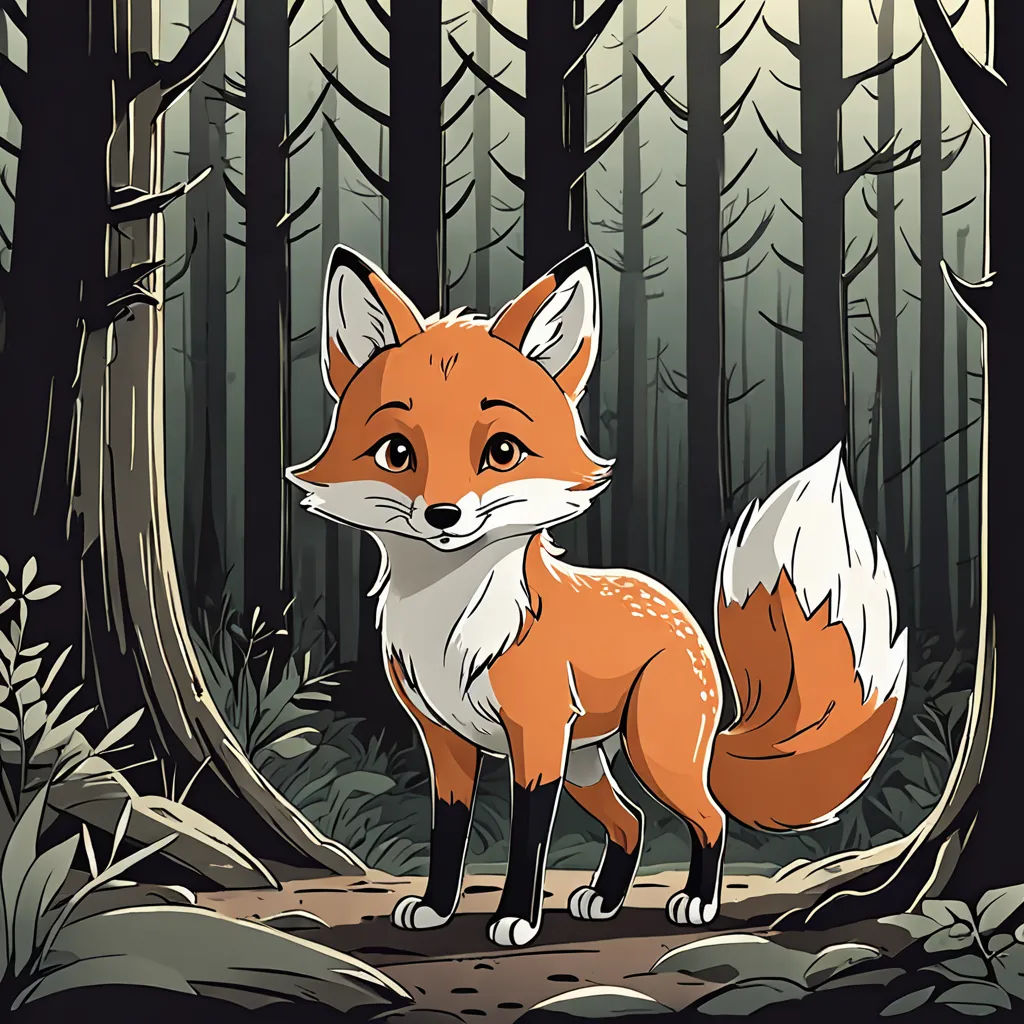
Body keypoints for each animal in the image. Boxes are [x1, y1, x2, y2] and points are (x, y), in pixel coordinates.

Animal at [286, 243, 908, 949]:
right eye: (396, 451)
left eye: (502, 450)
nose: (443, 515)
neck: (452, 622)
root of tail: (683, 614)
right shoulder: (445, 743)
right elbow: (448, 837)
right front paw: (437, 908)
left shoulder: (537, 738)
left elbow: (528, 840)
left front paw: (515, 918)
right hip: (588, 763)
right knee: (631, 820)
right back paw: (605, 899)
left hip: (650, 752)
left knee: (709, 817)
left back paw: (697, 901)